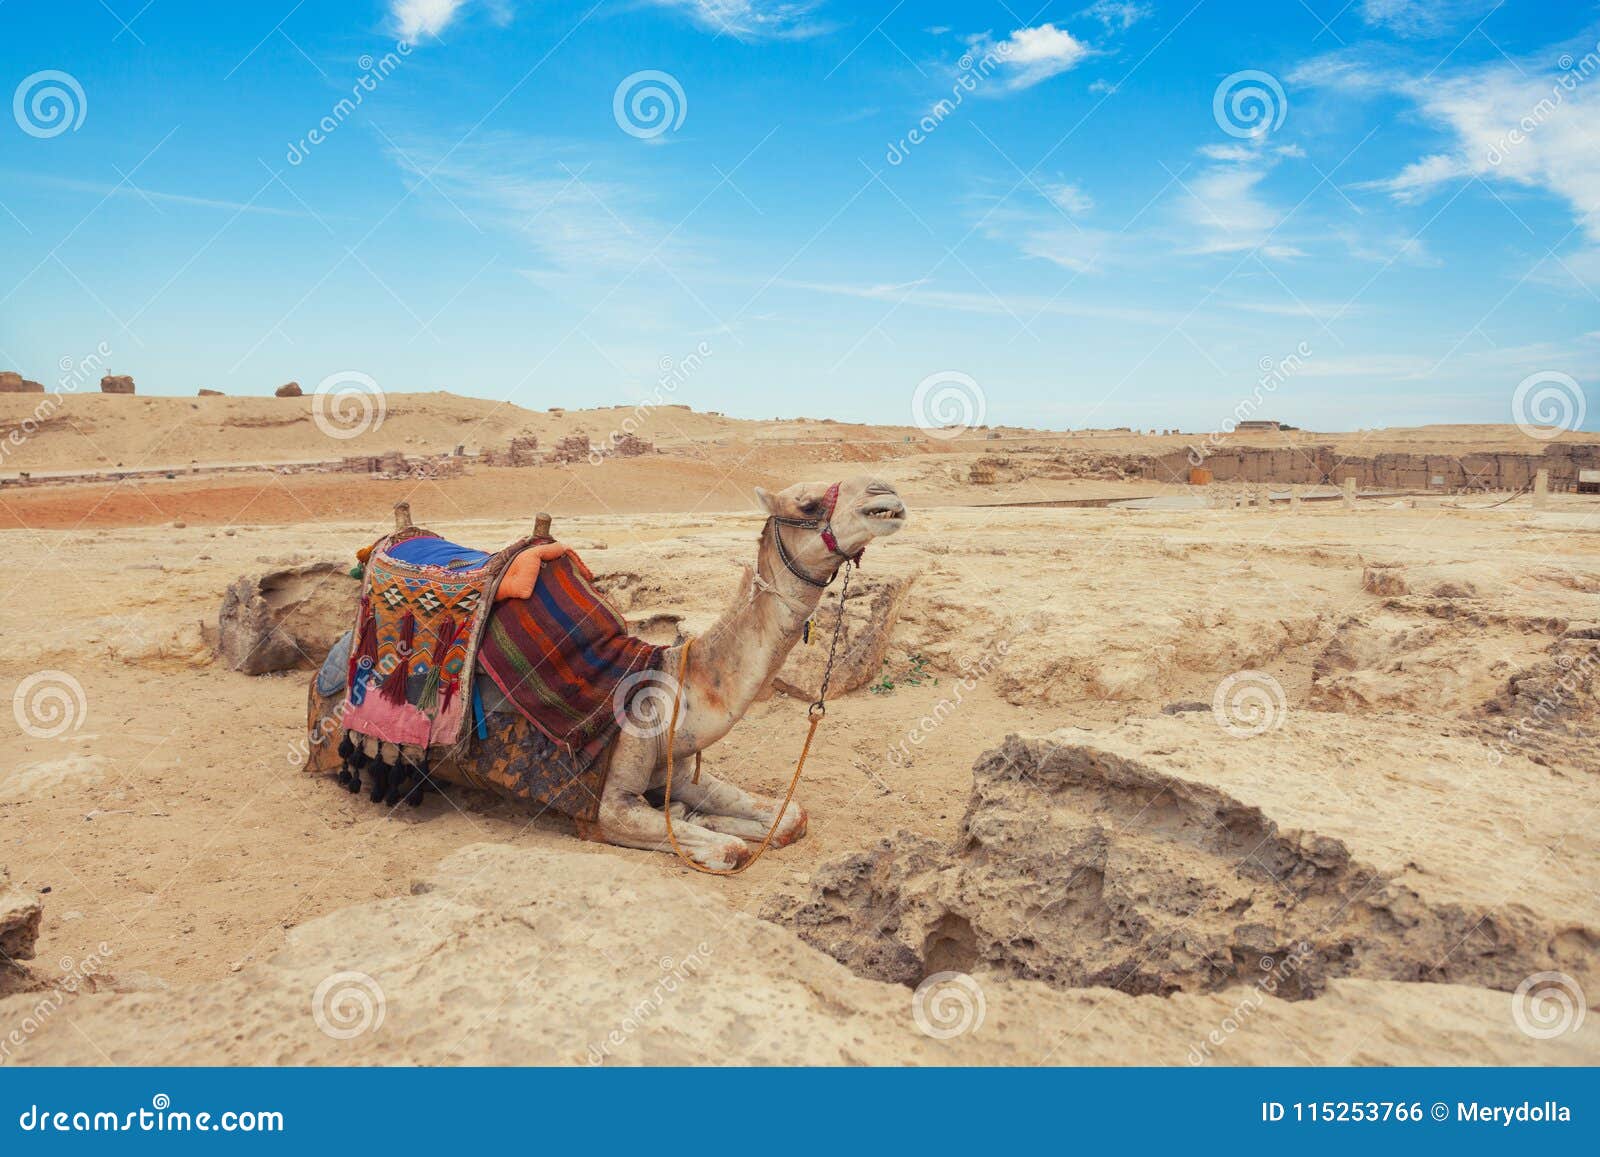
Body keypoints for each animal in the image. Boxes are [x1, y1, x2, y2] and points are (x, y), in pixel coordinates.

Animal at [305, 475, 908, 871]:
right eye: (808, 501)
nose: (888, 497)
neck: (674, 685)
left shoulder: (677, 766)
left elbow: (790, 817)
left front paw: (715, 816)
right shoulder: (611, 803)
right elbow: (729, 848)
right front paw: (708, 827)